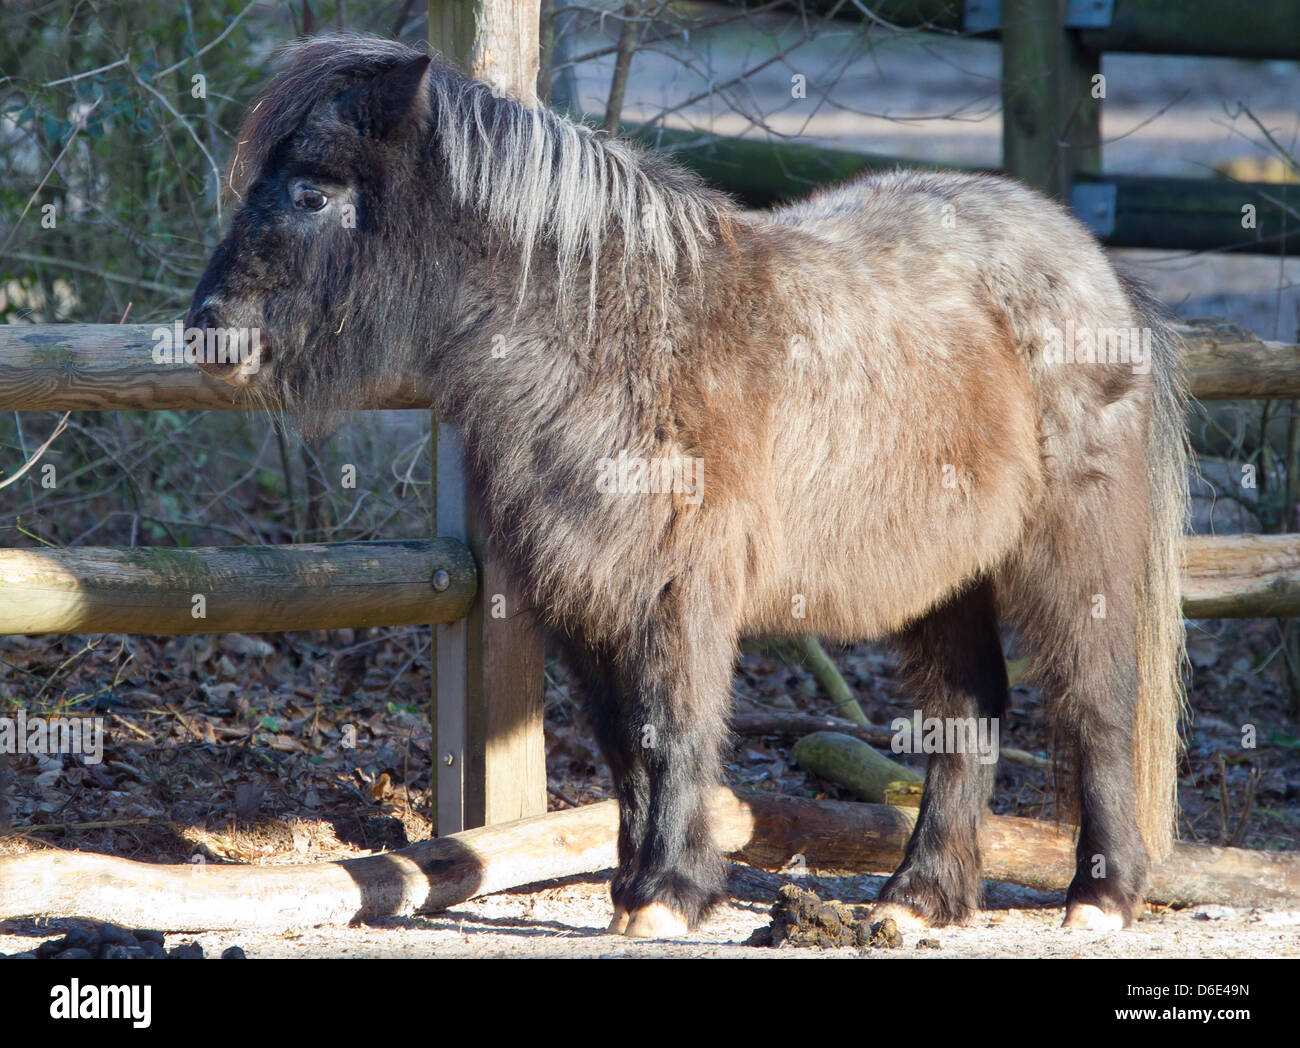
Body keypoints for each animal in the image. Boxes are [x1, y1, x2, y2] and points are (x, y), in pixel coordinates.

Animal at [187, 35, 1188, 938]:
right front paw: (637, 889)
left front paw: (668, 892)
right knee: (966, 709)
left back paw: (1098, 898)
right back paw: (920, 897)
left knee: (1097, 703)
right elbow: (624, 743)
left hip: (1070, 551)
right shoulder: (586, 598)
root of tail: (1094, 267)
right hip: (946, 573)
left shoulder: (679, 590)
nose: (207, 332)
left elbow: (675, 727)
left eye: (312, 192)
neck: (617, 339)